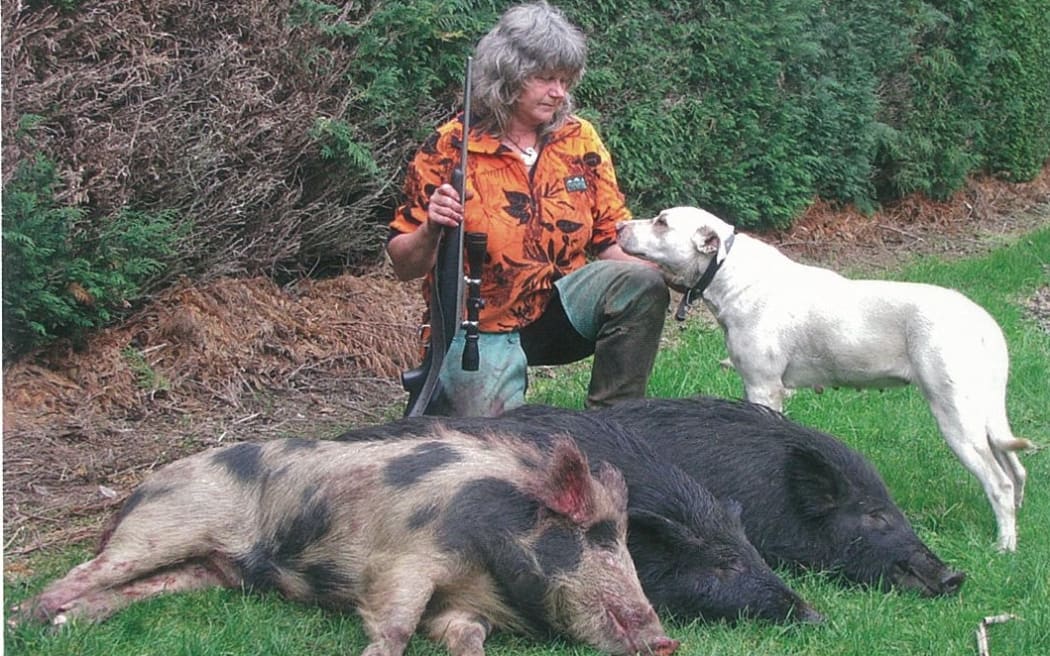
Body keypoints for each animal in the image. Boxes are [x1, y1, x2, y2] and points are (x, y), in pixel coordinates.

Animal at [10, 428, 679, 656]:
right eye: (594, 539)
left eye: (623, 542)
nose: (666, 638)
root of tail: (137, 489)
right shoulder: (406, 556)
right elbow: (395, 621)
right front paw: (374, 652)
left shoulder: (460, 603)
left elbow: (464, 634)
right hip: (164, 528)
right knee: (74, 576)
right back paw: (27, 620)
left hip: (205, 569)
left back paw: (66, 625)